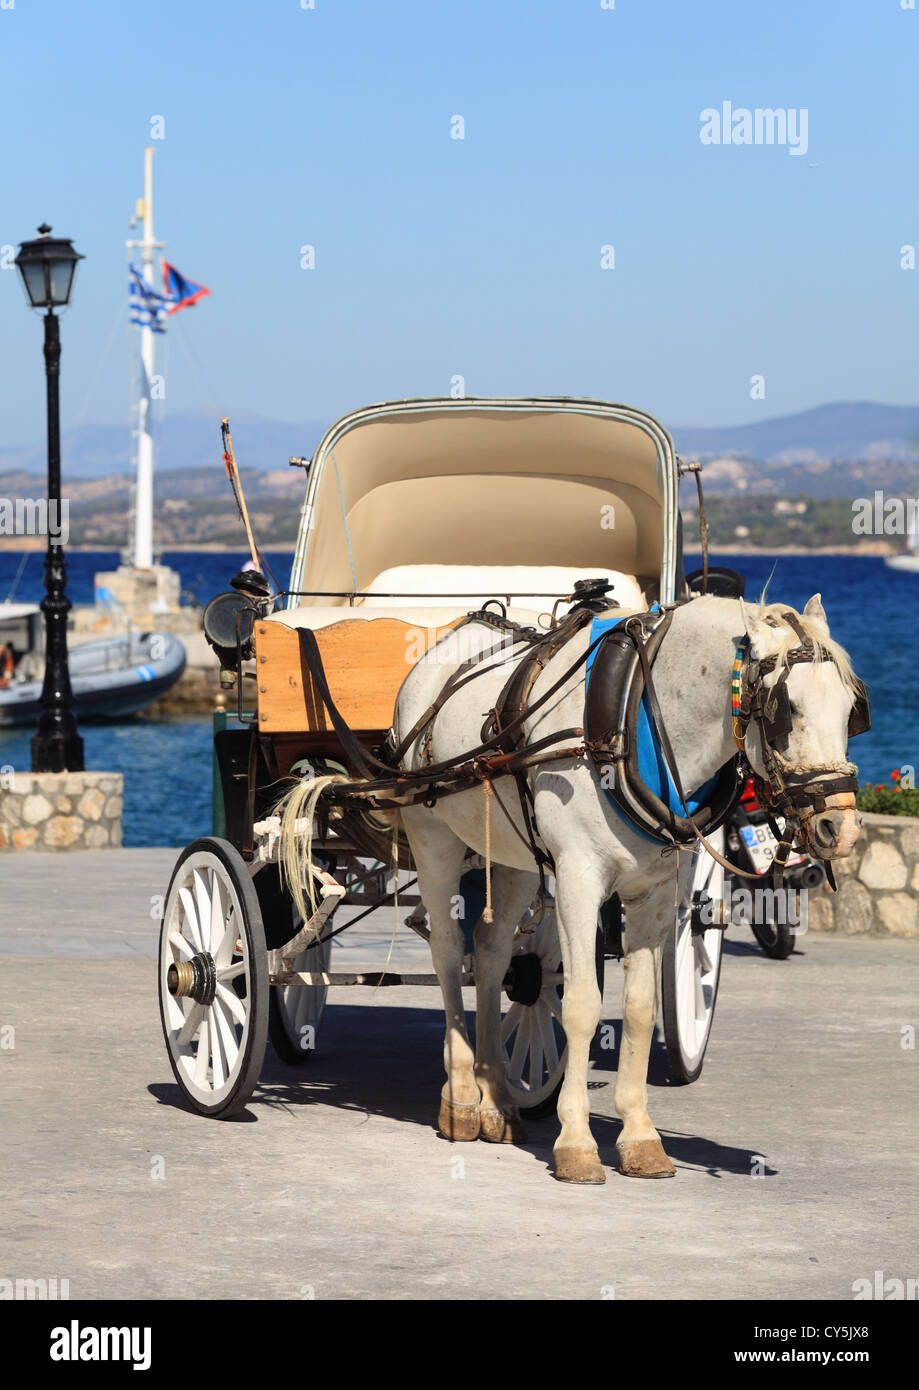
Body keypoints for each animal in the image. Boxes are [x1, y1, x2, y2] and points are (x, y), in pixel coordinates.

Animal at [390, 593, 863, 1183]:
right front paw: (575, 1141)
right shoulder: (576, 878)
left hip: (512, 854)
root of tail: (451, 639)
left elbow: (639, 1007)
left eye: (851, 709)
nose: (840, 828)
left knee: (493, 950)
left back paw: (496, 1101)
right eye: (786, 709)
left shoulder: (654, 893)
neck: (630, 719)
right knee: (450, 952)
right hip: (431, 835)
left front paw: (639, 1136)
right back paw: (459, 1097)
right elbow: (581, 1006)